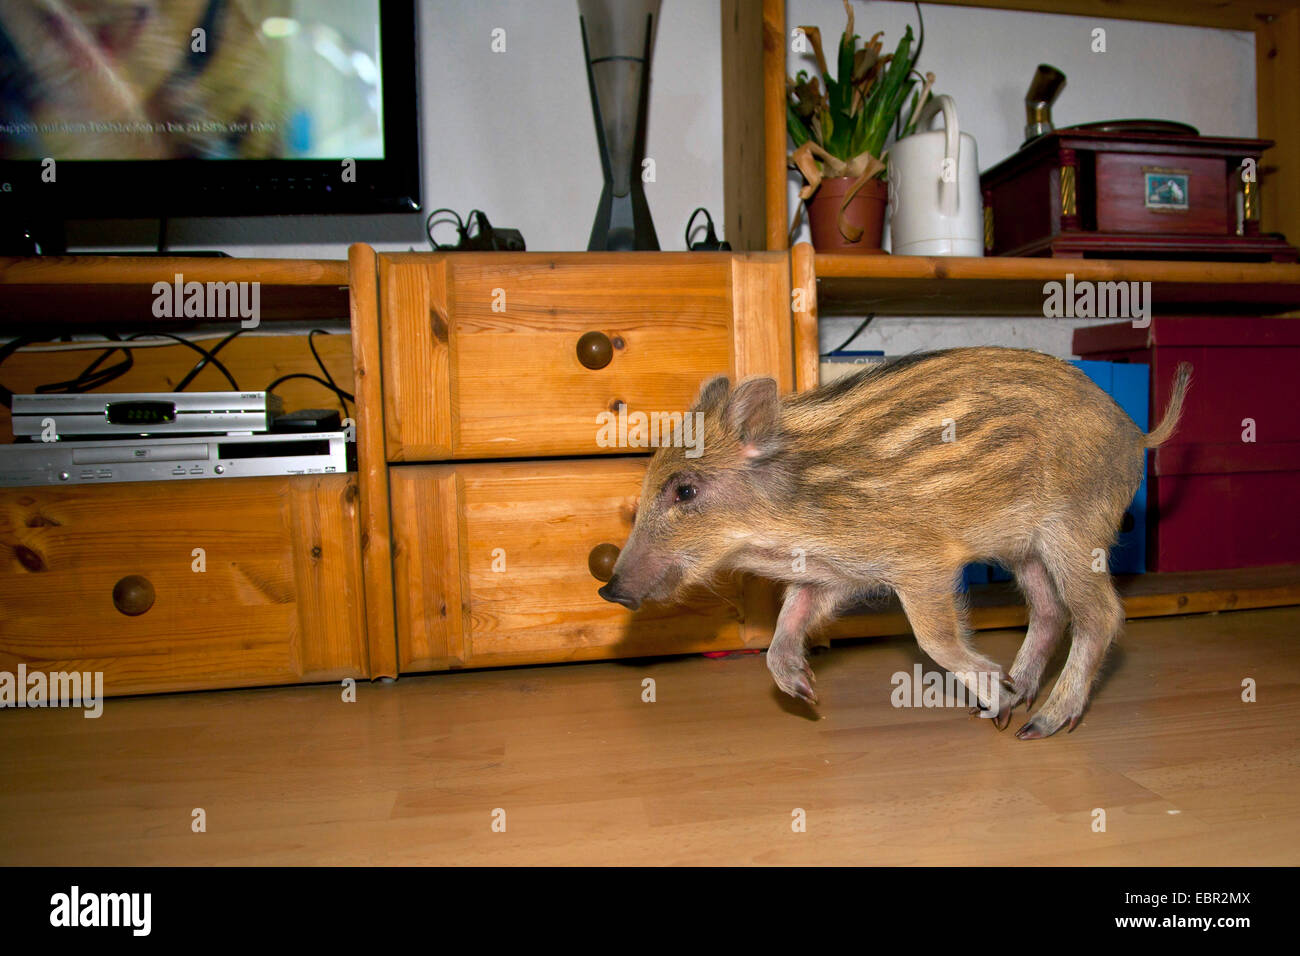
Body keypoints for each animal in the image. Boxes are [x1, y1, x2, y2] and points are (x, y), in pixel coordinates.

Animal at [598, 347, 1191, 739]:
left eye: (685, 490)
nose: (609, 590)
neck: (788, 519)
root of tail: (1137, 434)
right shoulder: (831, 575)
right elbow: (785, 629)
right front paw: (804, 689)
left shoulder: (921, 561)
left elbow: (935, 639)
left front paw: (994, 696)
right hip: (1024, 549)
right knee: (1049, 611)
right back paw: (1016, 697)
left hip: (1073, 529)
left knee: (1100, 615)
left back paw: (1037, 721)